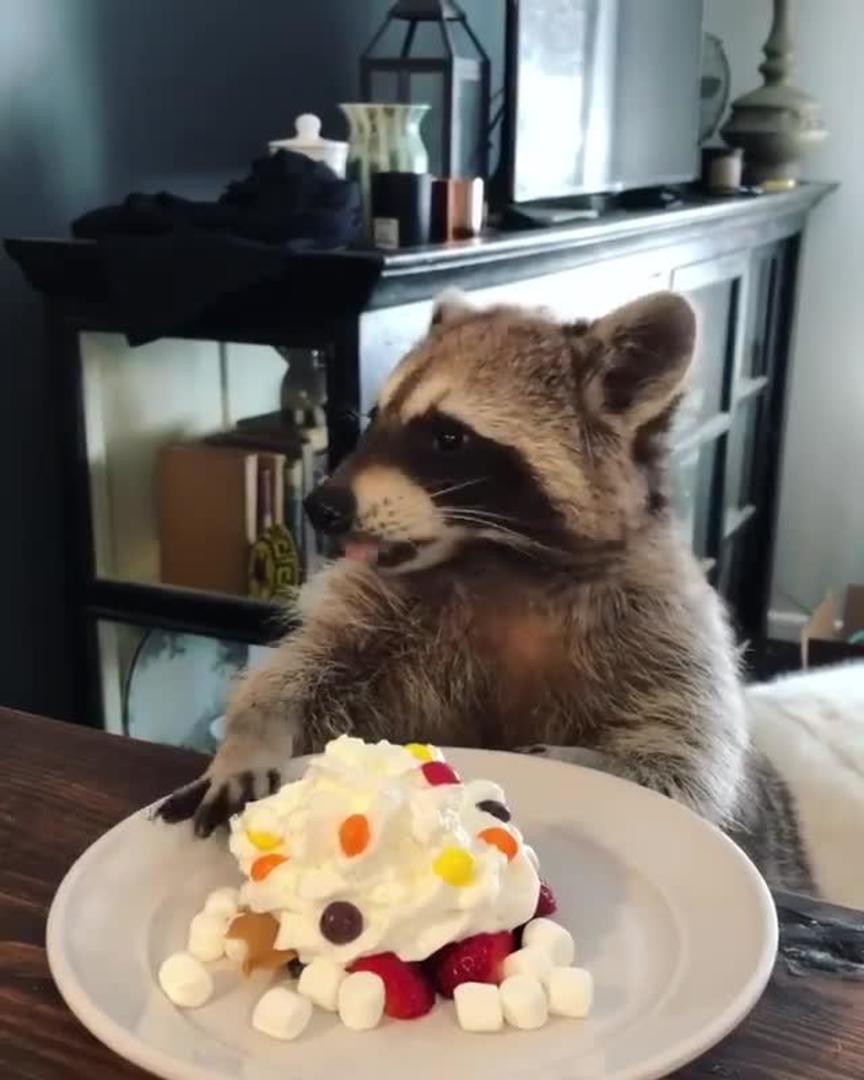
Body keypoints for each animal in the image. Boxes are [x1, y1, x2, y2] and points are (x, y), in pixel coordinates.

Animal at [160, 290, 812, 892]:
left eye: (448, 437)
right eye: (375, 417)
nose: (321, 507)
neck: (503, 562)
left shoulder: (667, 619)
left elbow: (687, 761)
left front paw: (594, 763)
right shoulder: (384, 609)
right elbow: (316, 666)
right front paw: (254, 729)